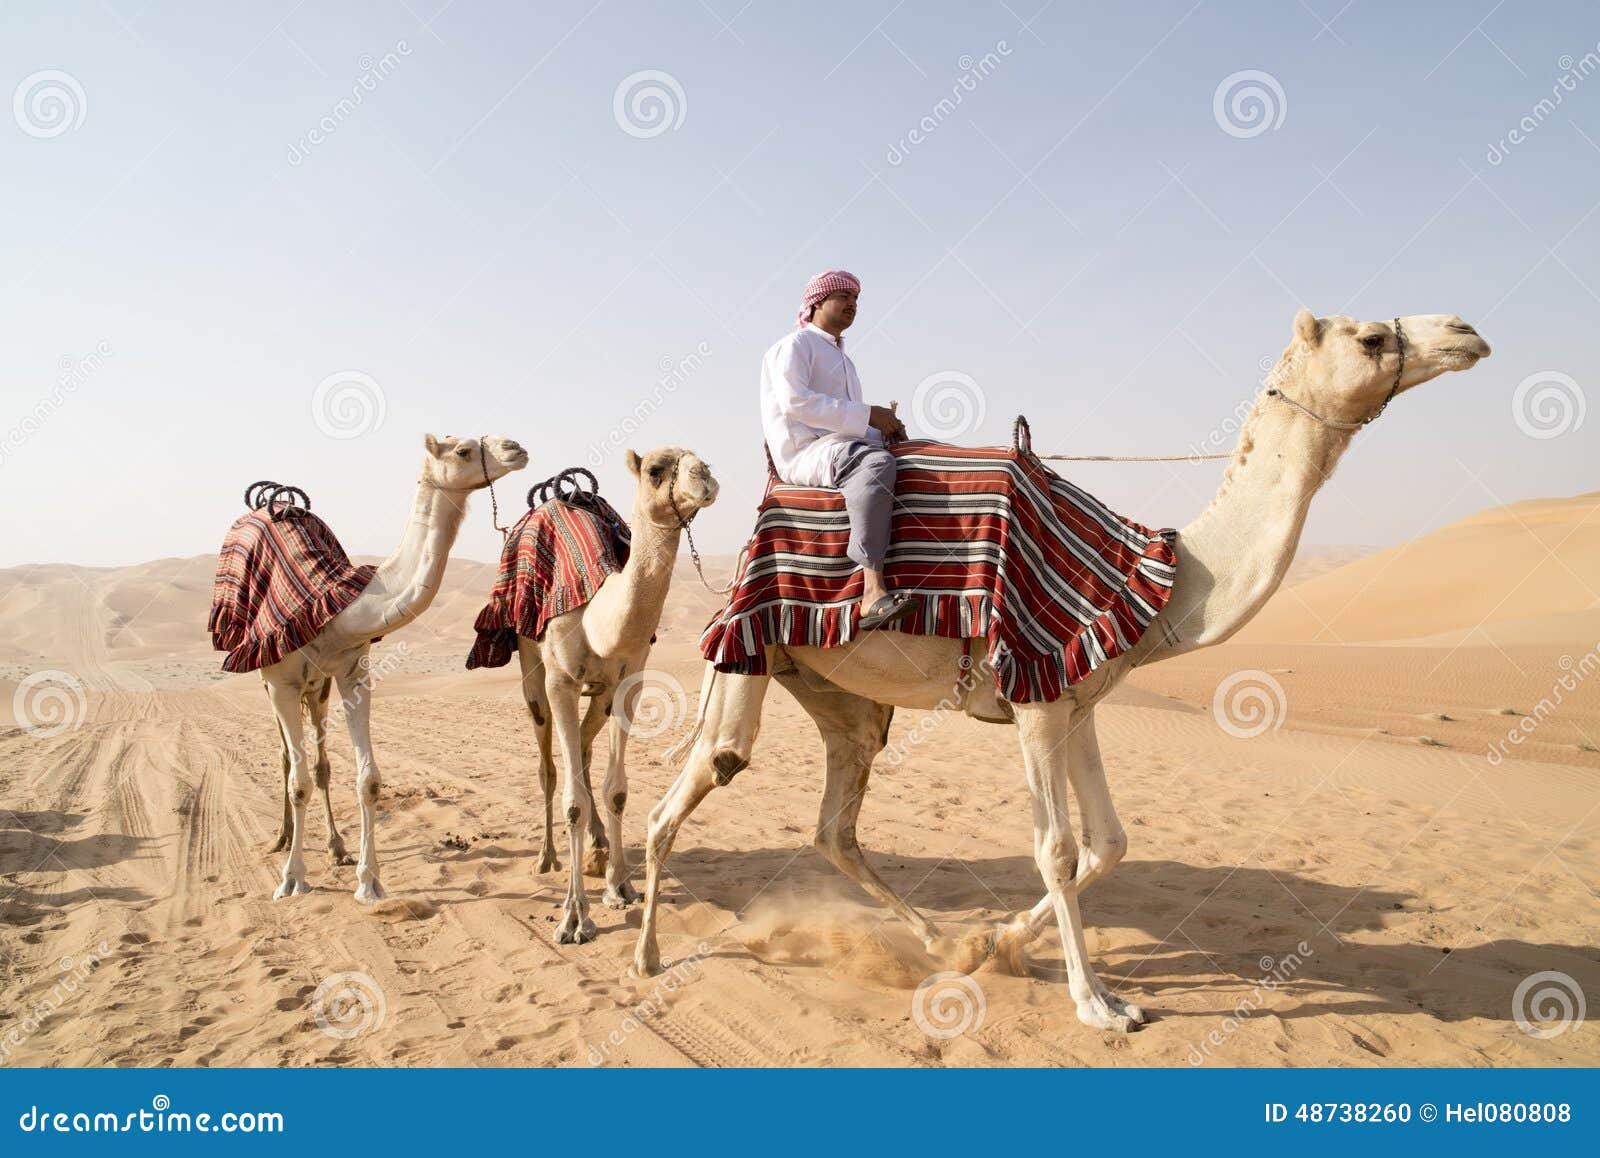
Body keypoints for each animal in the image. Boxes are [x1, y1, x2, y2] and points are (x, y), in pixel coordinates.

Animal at [264, 434, 529, 903]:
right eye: (462, 450)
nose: (515, 447)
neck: (341, 611)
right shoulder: (281, 681)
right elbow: (298, 782)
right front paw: (292, 879)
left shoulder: (351, 671)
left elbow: (367, 779)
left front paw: (369, 880)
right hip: (271, 680)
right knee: (287, 760)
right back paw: (283, 839)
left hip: (317, 687)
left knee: (319, 763)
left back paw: (335, 847)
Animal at [518, 447, 718, 943]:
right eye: (655, 470)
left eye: (700, 459)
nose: (704, 475)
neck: (598, 619)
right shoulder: (560, 682)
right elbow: (571, 800)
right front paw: (574, 918)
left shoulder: (629, 682)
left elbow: (617, 791)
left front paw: (620, 886)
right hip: (532, 673)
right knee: (549, 766)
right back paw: (548, 856)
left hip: (600, 696)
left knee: (586, 751)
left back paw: (599, 845)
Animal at [632, 310, 1491, 1032]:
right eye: (1371, 338)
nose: (1465, 330)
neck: (1165, 581)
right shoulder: (1037, 695)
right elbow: (1058, 849)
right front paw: (1097, 1004)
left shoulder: (1077, 698)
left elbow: (1108, 843)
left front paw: (1002, 941)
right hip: (750, 650)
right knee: (696, 783)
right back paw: (646, 956)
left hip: (837, 693)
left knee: (834, 824)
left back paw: (939, 940)